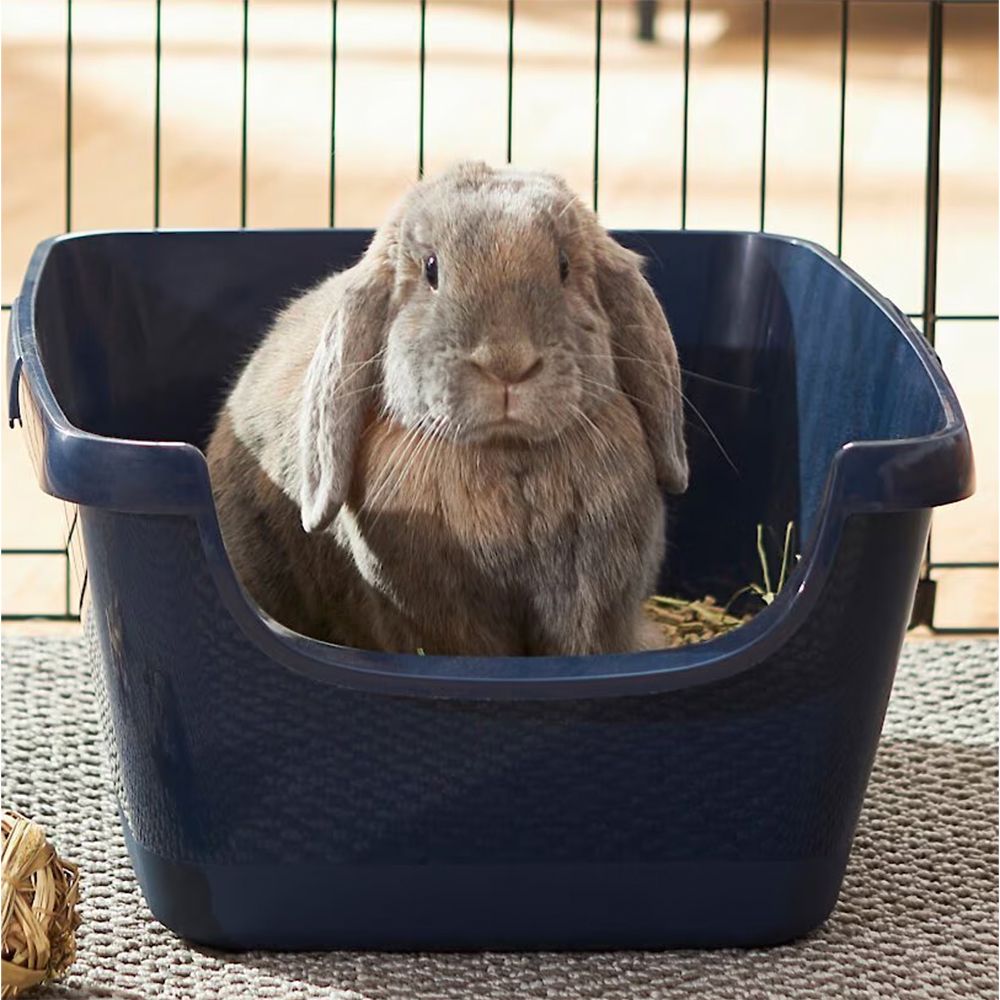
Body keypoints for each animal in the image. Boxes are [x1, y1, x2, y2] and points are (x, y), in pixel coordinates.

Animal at [206, 161, 688, 656]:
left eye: (564, 267)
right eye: (431, 269)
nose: (507, 363)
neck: (507, 453)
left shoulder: (591, 603)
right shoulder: (438, 615)